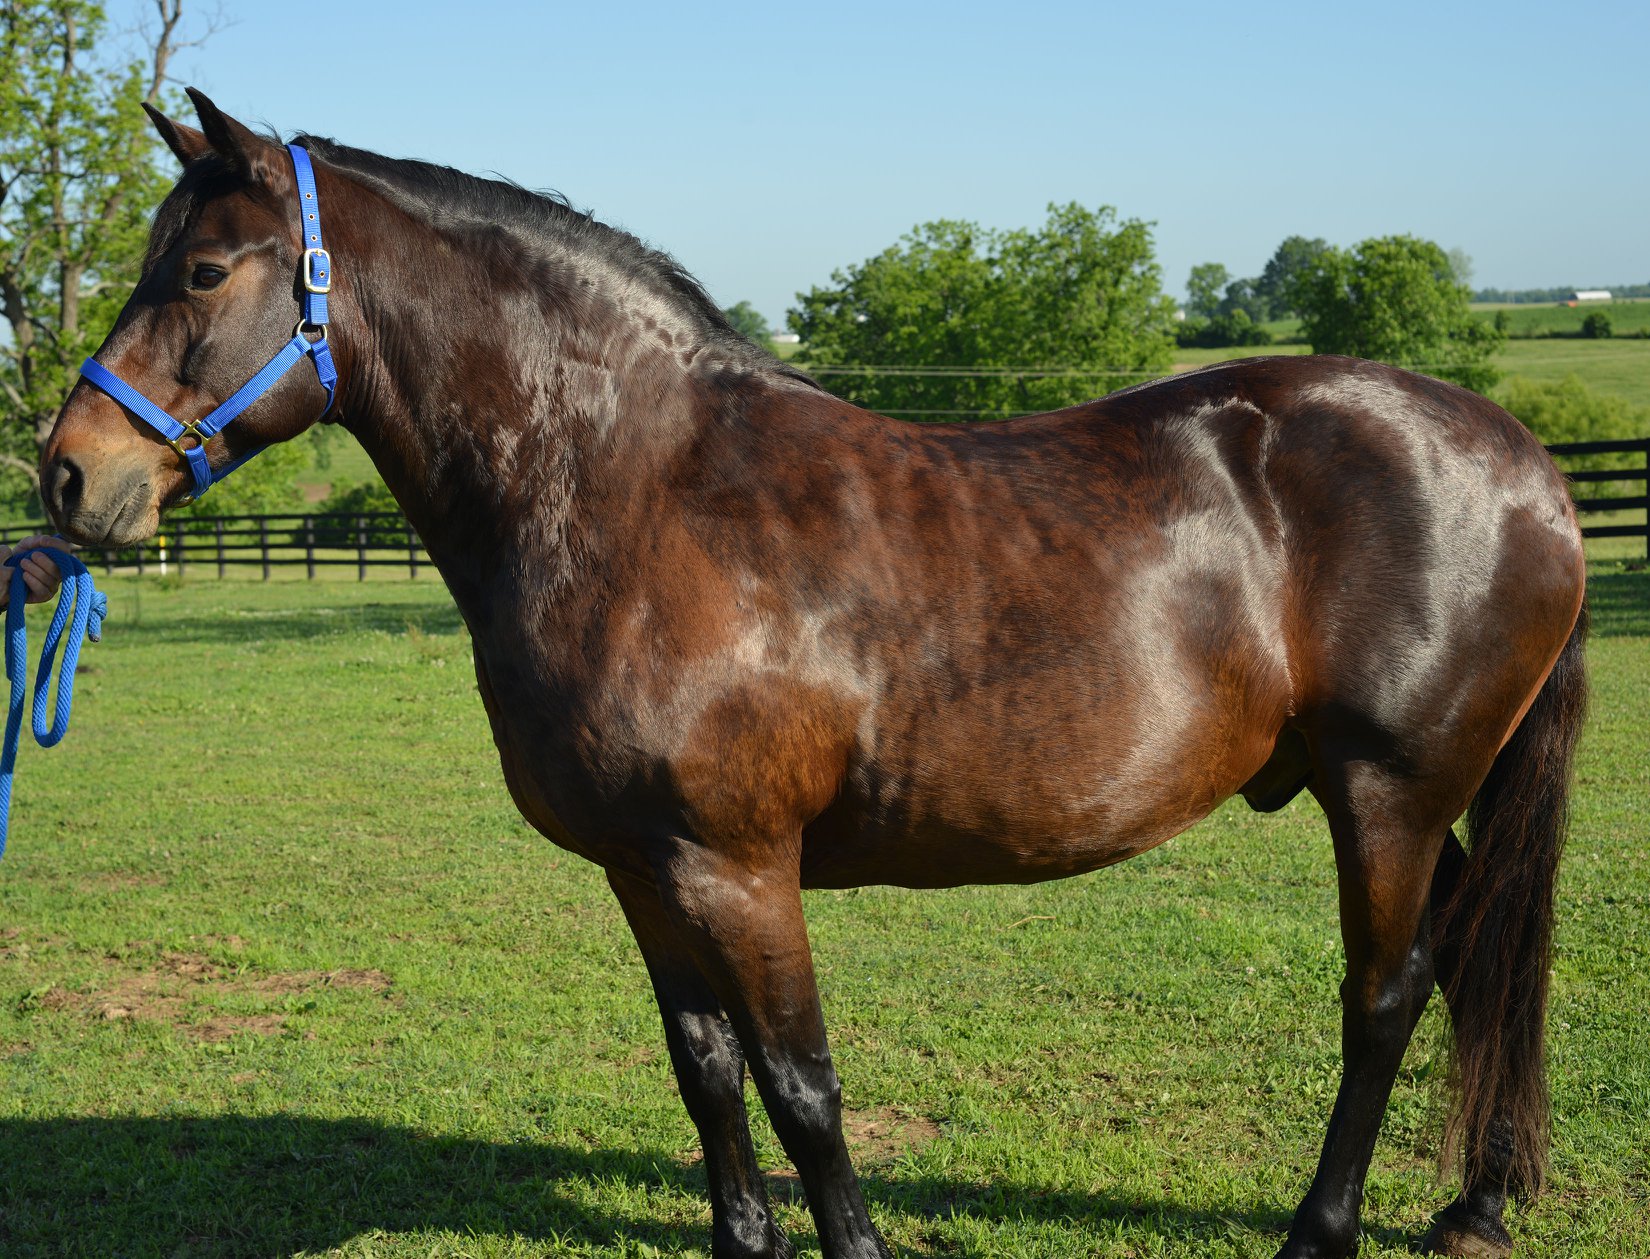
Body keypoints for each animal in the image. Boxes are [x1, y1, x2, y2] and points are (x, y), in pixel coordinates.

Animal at [42, 91, 1587, 1259]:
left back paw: (1324, 1227)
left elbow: (800, 1084)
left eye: (199, 271)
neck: (634, 491)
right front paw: (744, 1239)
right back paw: (1474, 1202)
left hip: (1387, 791)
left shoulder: (736, 863)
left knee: (1386, 990)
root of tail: (1520, 456)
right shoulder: (643, 864)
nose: (69, 473)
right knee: (1471, 952)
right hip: (1392, 793)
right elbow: (706, 1067)